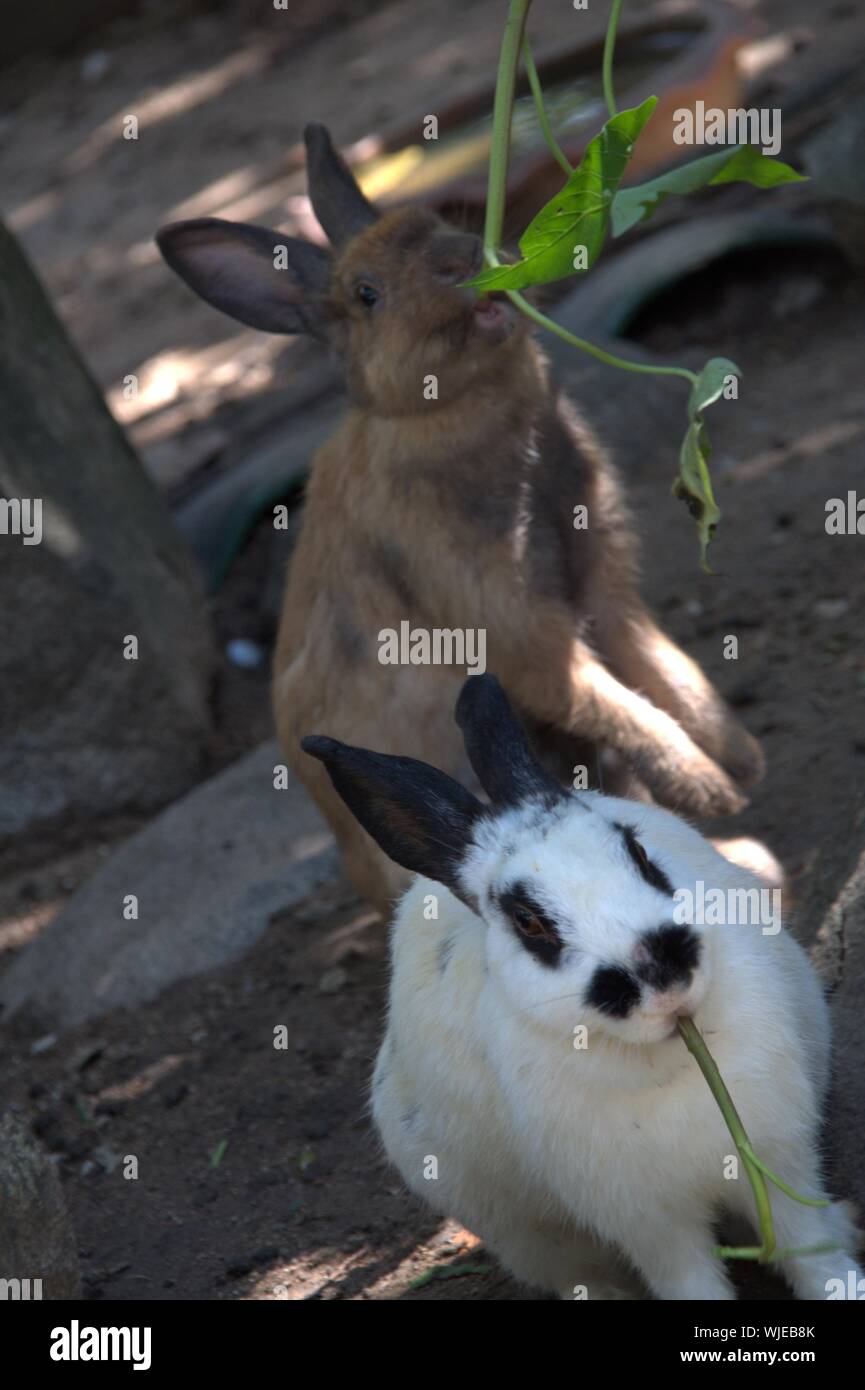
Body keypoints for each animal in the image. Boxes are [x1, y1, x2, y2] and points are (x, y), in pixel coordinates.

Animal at [157, 122, 765, 917]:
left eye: (437, 223)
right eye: (367, 294)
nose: (462, 263)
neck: (455, 414)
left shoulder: (603, 589)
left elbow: (665, 666)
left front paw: (741, 760)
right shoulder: (519, 631)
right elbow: (608, 698)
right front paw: (713, 788)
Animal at [301, 673, 862, 1301]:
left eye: (638, 852)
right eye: (529, 922)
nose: (660, 968)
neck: (670, 1059)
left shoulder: (780, 1157)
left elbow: (809, 1247)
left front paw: (845, 1284)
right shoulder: (648, 1222)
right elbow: (689, 1279)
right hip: (540, 1243)